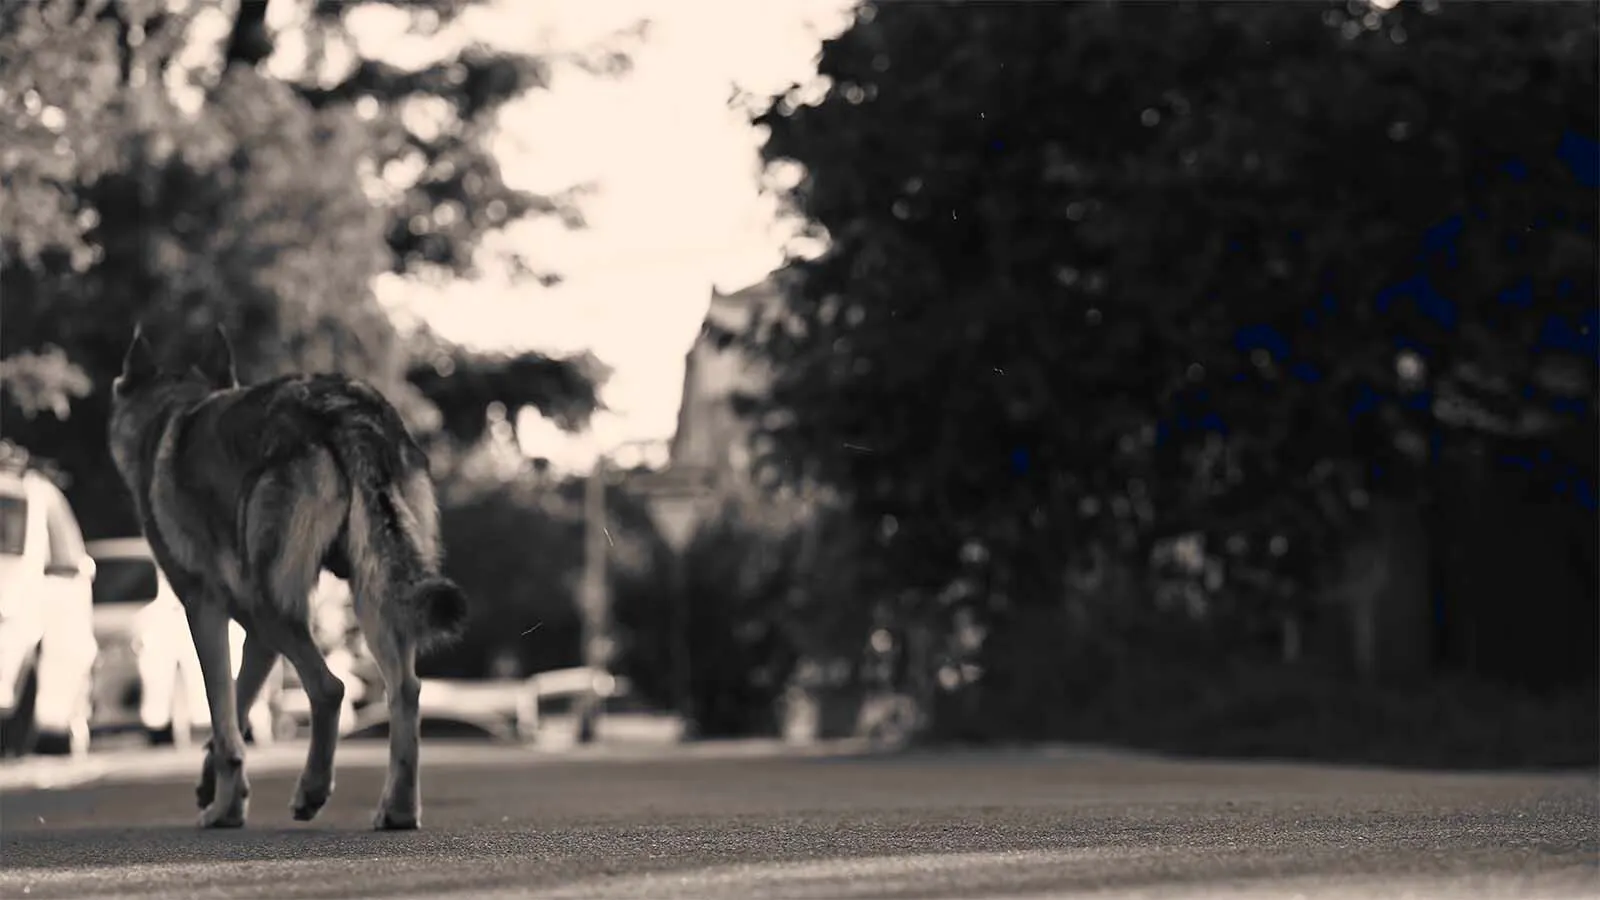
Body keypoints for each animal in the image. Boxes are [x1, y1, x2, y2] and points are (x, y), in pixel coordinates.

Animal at [107, 325, 469, 830]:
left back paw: (312, 790)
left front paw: (224, 808)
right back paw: (396, 809)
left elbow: (223, 716)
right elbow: (237, 709)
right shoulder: (255, 635)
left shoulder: (205, 608)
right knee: (406, 691)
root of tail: (346, 410)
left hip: (277, 608)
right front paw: (219, 790)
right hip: (373, 599)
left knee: (331, 688)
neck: (171, 410)